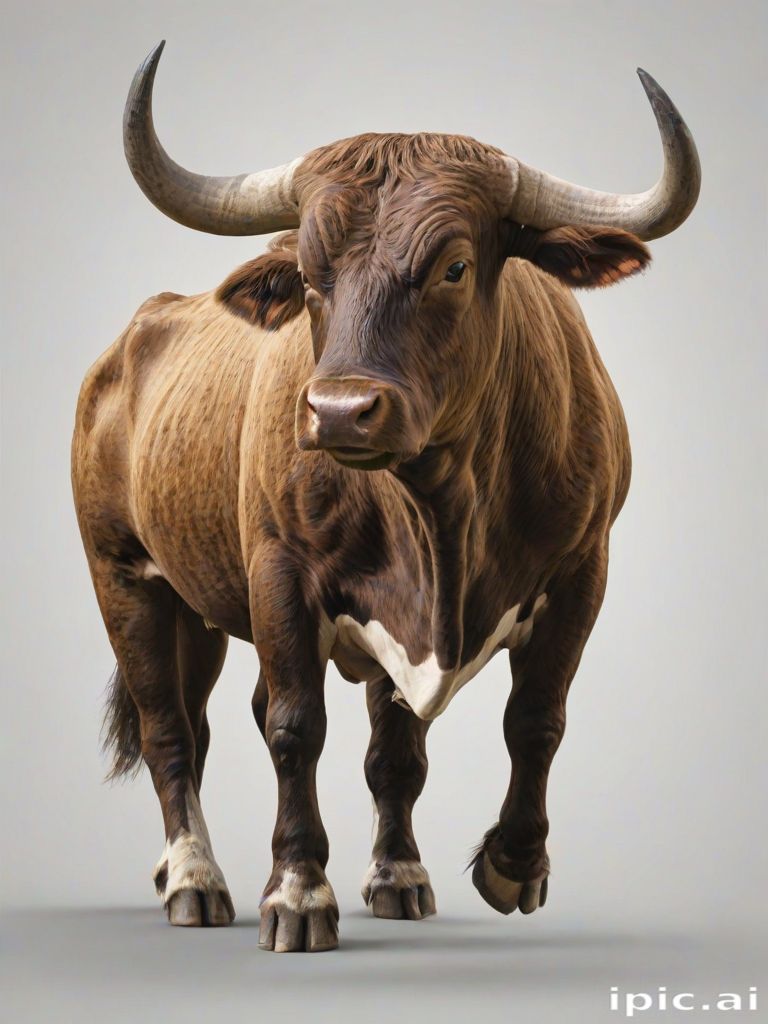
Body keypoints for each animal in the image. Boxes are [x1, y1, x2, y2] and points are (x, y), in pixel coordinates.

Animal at [72, 41, 700, 952]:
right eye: (307, 273)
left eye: (455, 266)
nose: (338, 410)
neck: (441, 518)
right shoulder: (280, 575)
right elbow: (298, 728)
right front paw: (299, 894)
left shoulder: (582, 569)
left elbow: (511, 725)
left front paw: (482, 867)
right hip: (124, 577)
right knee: (171, 730)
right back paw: (193, 878)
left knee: (230, 720)